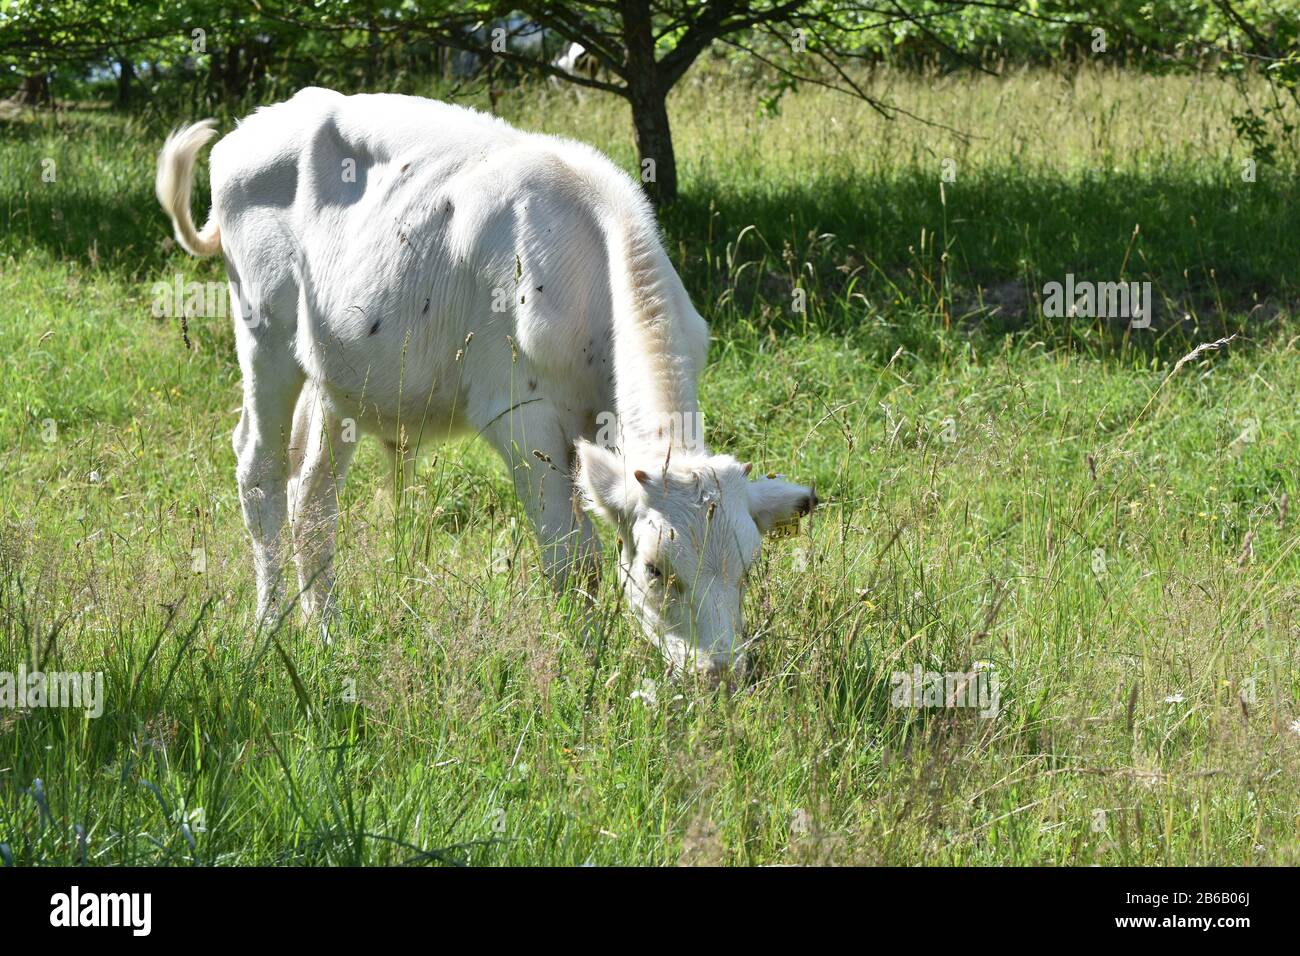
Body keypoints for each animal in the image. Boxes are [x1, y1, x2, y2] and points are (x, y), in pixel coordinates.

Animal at [155, 88, 817, 682]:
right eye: (657, 569)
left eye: (748, 567)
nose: (719, 675)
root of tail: (261, 121)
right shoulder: (520, 416)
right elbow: (573, 561)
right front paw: (587, 669)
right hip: (263, 332)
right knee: (259, 470)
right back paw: (270, 628)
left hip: (336, 375)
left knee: (312, 497)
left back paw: (326, 632)